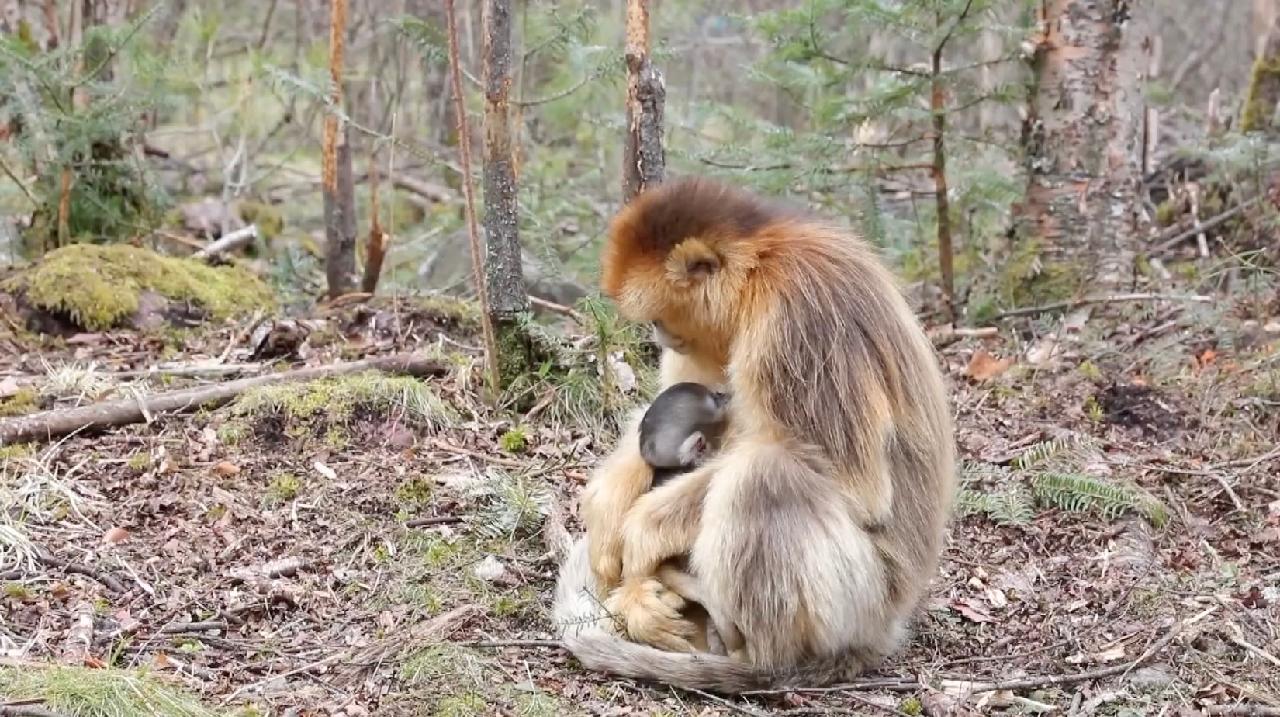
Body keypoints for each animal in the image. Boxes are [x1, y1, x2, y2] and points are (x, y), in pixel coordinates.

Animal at [555, 176, 957, 693]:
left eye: (659, 318)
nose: (660, 337)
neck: (760, 268)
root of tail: (891, 620)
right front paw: (609, 510)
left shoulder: (799, 313)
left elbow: (857, 488)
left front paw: (642, 530)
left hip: (861, 601)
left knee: (762, 474)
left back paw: (756, 657)